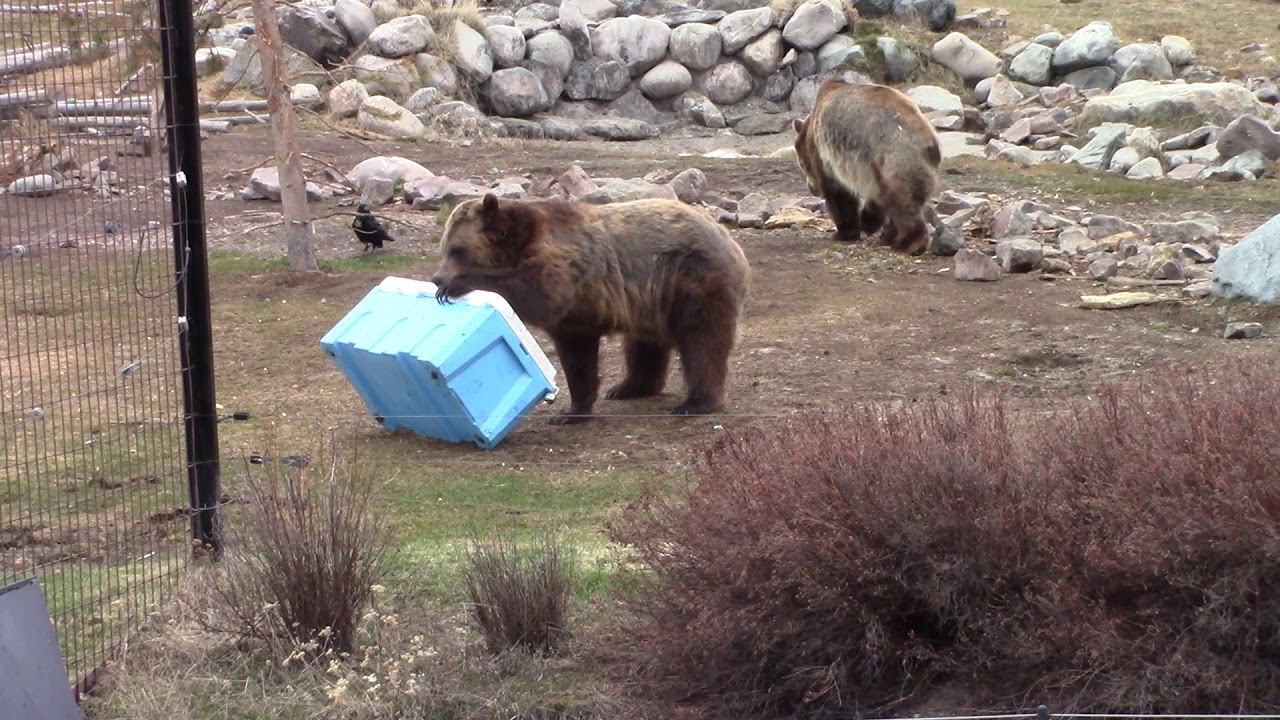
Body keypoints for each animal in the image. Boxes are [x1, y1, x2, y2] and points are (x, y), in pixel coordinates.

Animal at [431, 194, 751, 424]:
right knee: (643, 344)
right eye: (444, 248)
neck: (518, 245)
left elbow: (540, 291)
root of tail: (729, 239)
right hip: (649, 301)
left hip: (692, 277)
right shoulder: (575, 317)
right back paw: (628, 387)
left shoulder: (568, 265)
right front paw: (572, 411)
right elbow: (577, 360)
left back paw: (695, 403)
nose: (437, 278)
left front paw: (456, 285)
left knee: (702, 341)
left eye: (457, 250)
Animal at [793, 78, 943, 255]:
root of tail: (929, 141)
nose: (811, 189)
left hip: (897, 158)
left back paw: (908, 243)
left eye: (803, 166)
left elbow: (838, 192)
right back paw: (889, 236)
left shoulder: (825, 154)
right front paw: (868, 222)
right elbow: (876, 198)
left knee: (904, 201)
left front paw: (844, 232)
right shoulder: (870, 168)